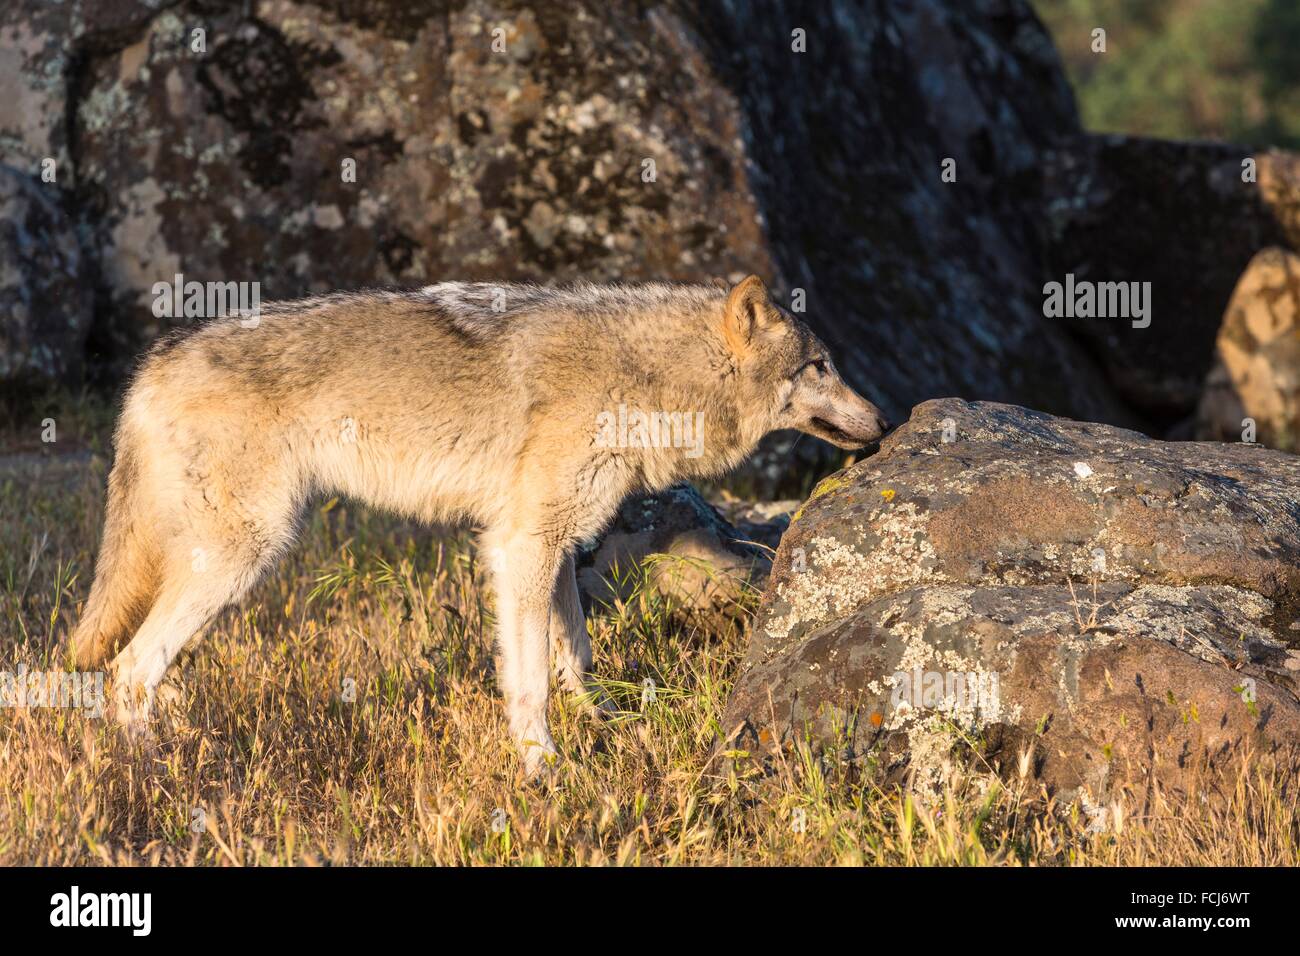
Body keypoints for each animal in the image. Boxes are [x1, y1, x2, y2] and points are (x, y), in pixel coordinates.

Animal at [69, 275, 888, 773]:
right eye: (819, 367)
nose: (883, 422)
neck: (647, 379)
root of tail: (153, 362)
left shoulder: (556, 546)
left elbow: (575, 657)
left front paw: (601, 727)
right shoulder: (520, 545)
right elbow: (528, 680)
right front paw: (543, 767)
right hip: (244, 554)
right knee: (127, 671)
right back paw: (154, 770)